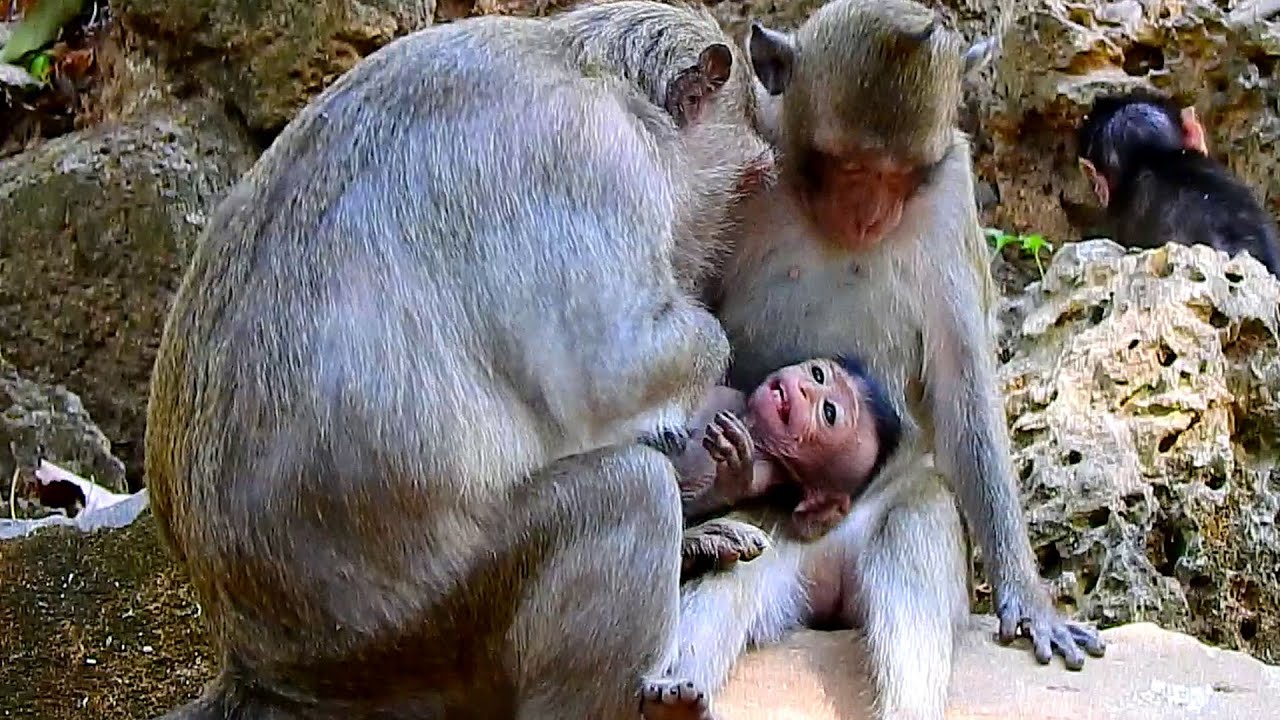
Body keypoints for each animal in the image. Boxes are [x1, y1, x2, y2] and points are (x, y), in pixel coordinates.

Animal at [142, 2, 777, 719]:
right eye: (748, 187)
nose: (717, 266)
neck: (594, 71)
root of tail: (260, 667)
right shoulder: (593, 157)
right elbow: (614, 368)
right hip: (430, 631)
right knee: (629, 491)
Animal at [674, 355, 904, 580]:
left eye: (829, 412)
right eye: (818, 375)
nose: (805, 388)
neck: (754, 431)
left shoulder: (766, 471)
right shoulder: (728, 396)